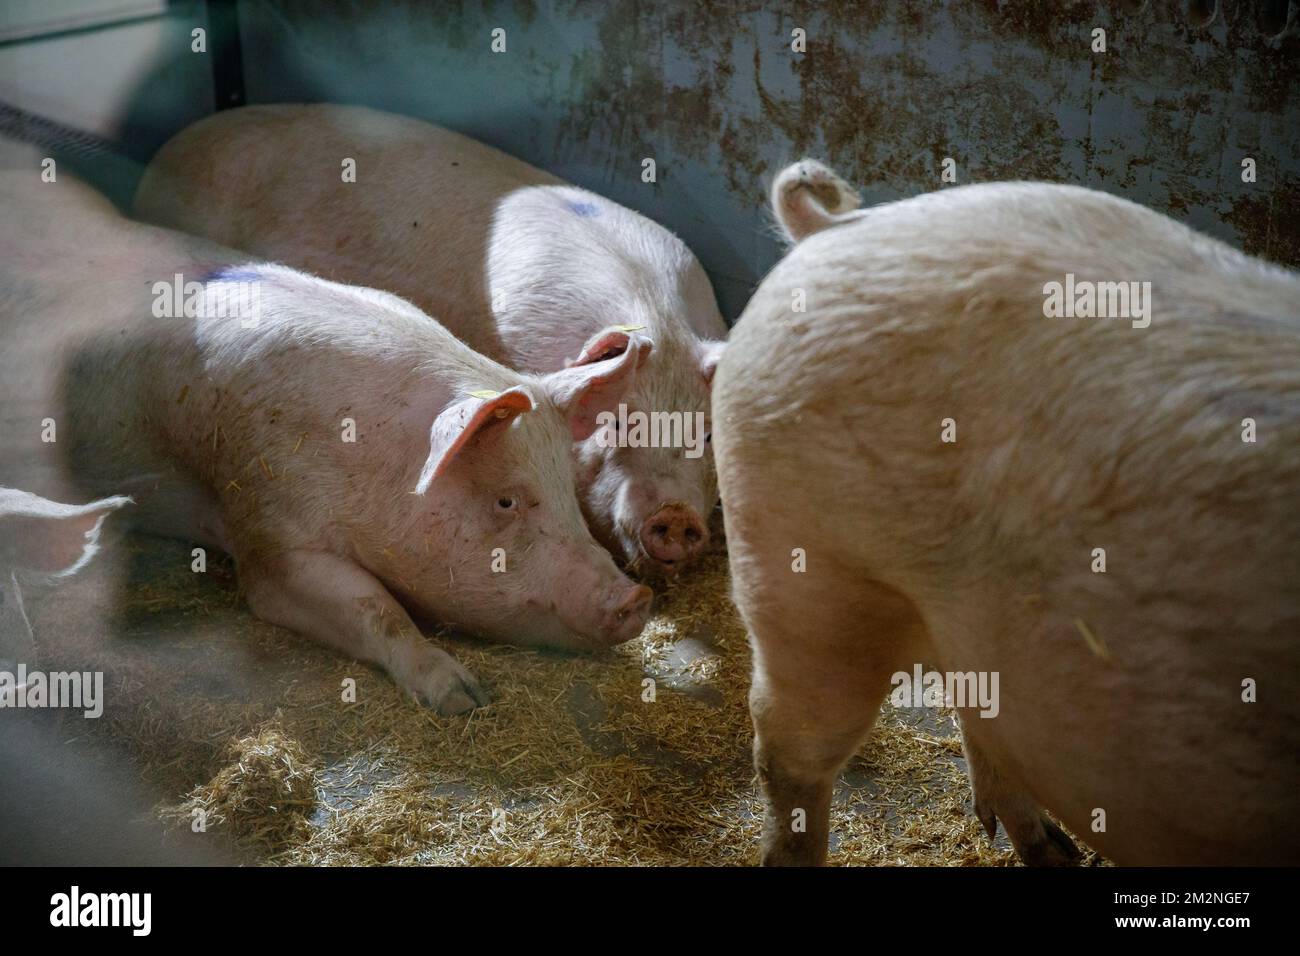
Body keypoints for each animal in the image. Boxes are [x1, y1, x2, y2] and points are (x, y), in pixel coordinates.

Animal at [0, 160, 653, 715]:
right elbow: (370, 607)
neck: (371, 452)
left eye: (568, 492)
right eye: (506, 500)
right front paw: (464, 697)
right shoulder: (268, 529)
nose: (636, 600)